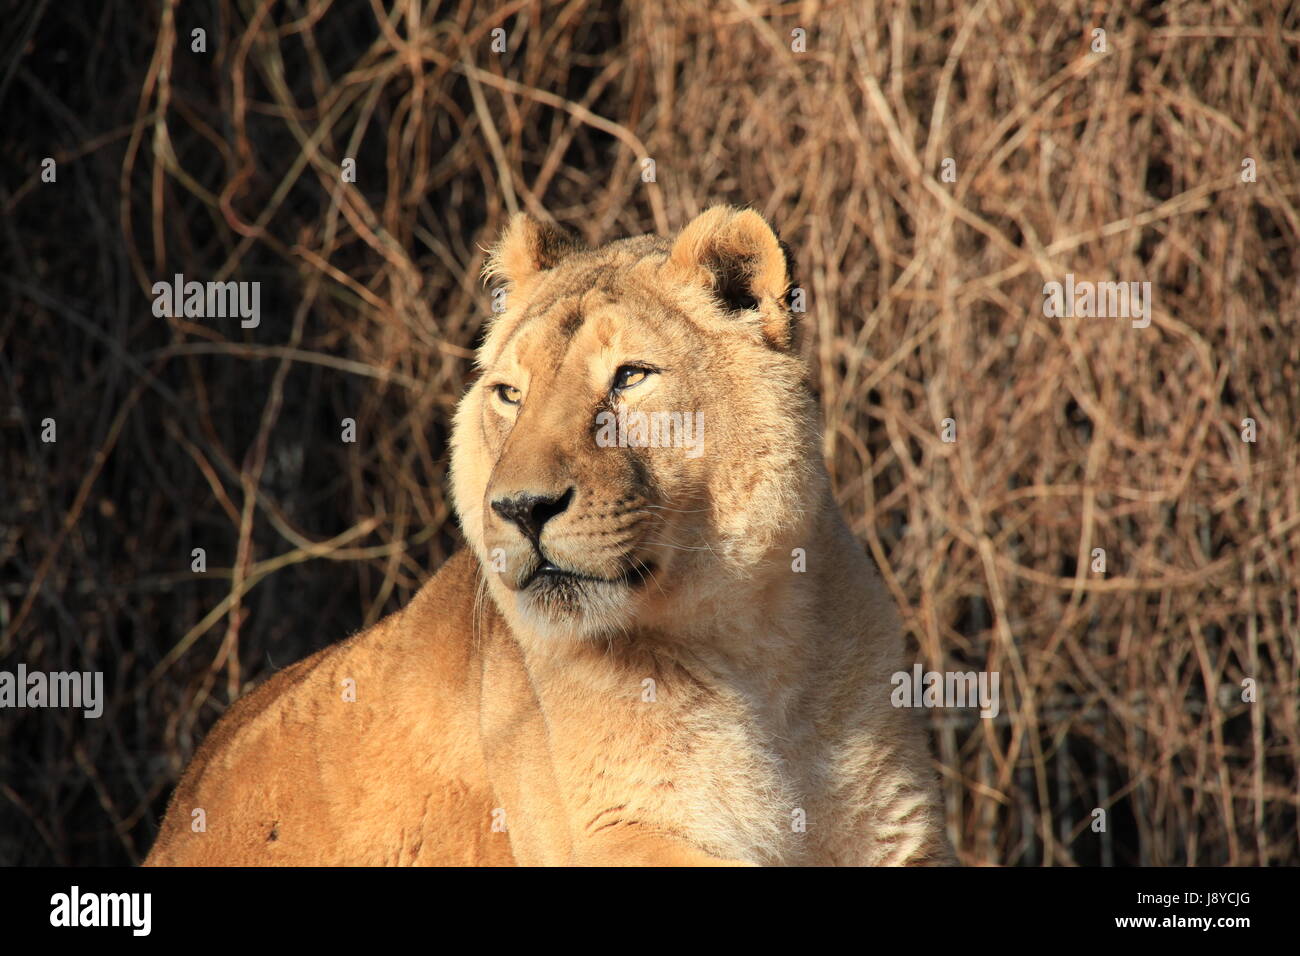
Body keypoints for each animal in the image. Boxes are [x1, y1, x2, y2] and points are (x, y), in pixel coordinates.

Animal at [144, 206, 953, 866]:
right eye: (510, 393)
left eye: (630, 378)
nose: (523, 508)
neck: (757, 655)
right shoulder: (619, 834)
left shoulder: (901, 832)